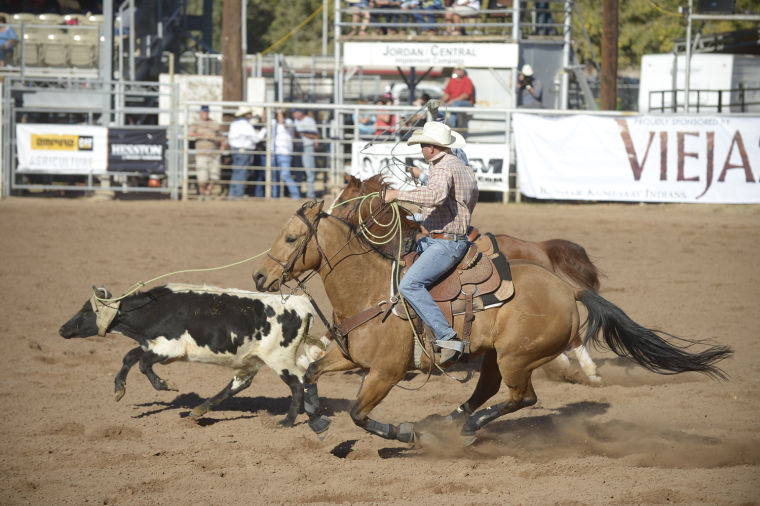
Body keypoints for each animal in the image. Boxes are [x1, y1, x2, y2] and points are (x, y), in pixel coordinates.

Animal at [59, 283, 315, 427]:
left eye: (86, 311)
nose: (62, 329)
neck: (155, 310)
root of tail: (302, 304)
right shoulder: (154, 345)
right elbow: (130, 357)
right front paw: (119, 389)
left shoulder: (170, 347)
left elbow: (142, 363)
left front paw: (165, 384)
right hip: (253, 360)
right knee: (240, 383)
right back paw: (199, 409)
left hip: (280, 359)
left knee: (298, 382)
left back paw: (288, 421)